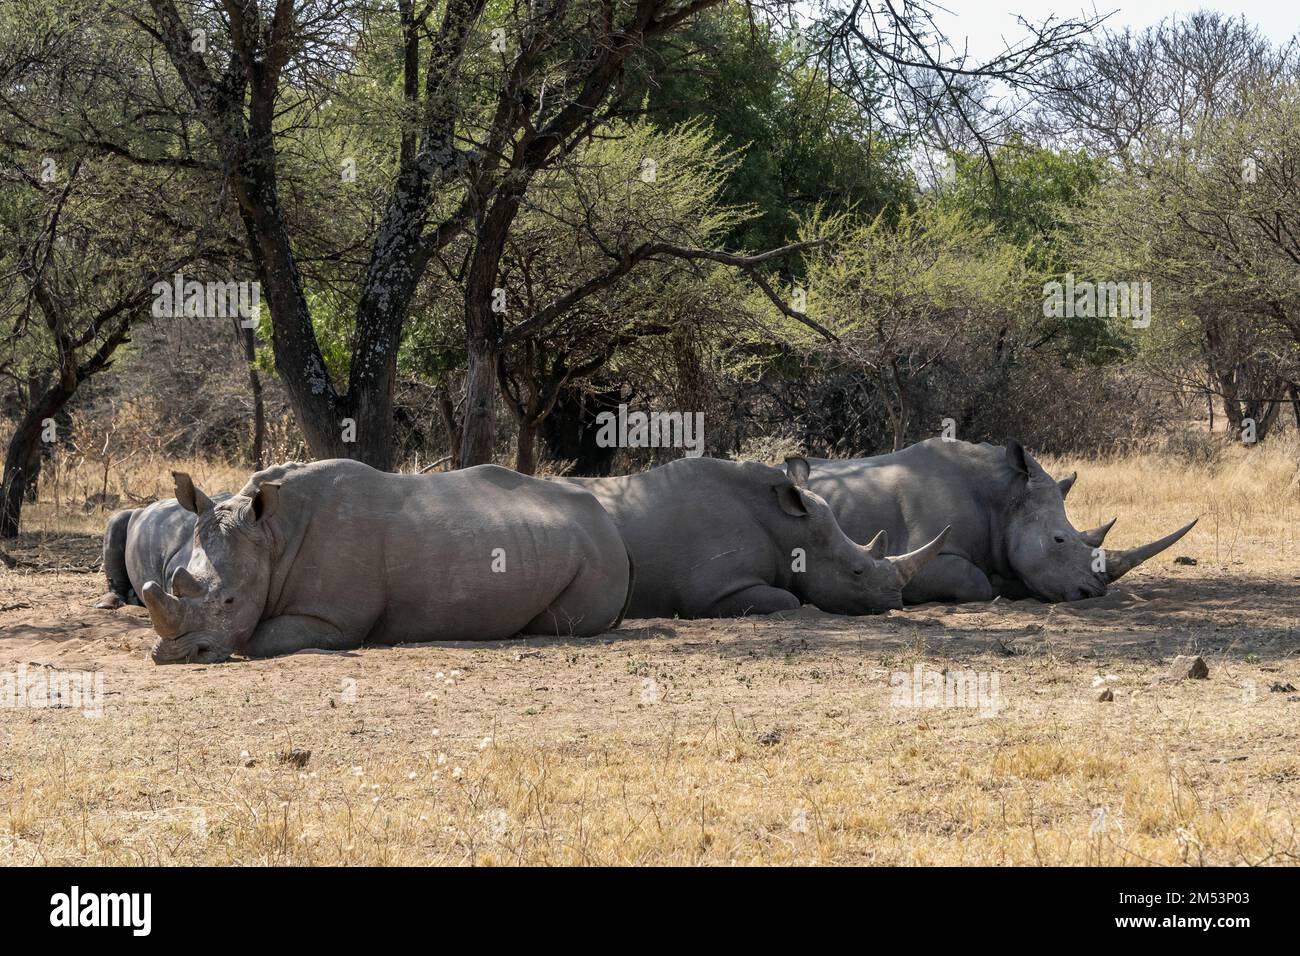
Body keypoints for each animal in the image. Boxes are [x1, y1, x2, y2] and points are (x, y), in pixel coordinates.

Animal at [144, 459, 633, 664]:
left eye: (228, 602)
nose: (173, 656)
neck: (271, 534)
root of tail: (609, 521)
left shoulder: (336, 620)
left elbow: (256, 638)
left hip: (598, 556)